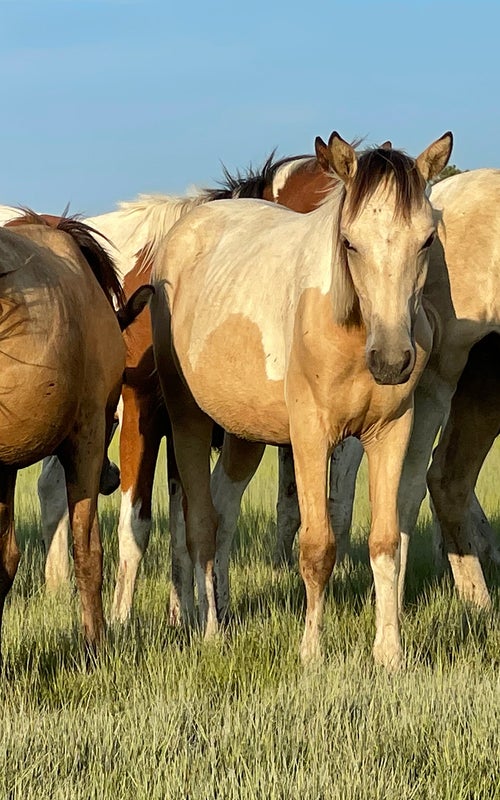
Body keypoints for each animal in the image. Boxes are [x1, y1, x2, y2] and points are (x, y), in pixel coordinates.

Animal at [0, 213, 127, 655]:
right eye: (116, 421)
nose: (112, 478)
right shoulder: (87, 437)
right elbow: (88, 552)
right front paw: (96, 646)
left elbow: (5, 559)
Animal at [150, 131, 453, 668]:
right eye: (350, 241)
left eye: (427, 241)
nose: (392, 361)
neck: (350, 329)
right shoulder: (310, 436)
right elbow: (317, 547)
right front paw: (311, 653)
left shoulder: (390, 433)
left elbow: (384, 544)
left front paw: (389, 655)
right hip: (187, 420)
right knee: (200, 522)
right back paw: (210, 632)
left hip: (244, 434)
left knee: (224, 512)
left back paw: (222, 612)